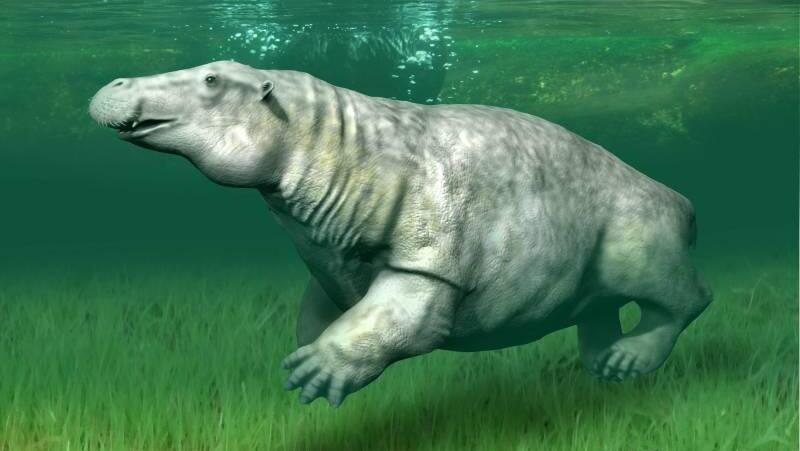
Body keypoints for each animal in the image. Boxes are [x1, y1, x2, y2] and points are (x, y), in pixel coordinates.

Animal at [89, 60, 712, 407]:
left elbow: (393, 318)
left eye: (212, 80)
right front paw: (302, 360)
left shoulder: (427, 262)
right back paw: (606, 367)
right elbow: (327, 311)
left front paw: (313, 374)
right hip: (593, 268)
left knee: (685, 299)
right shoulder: (328, 257)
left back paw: (631, 359)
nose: (115, 80)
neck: (316, 133)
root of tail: (680, 198)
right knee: (598, 306)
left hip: (640, 241)